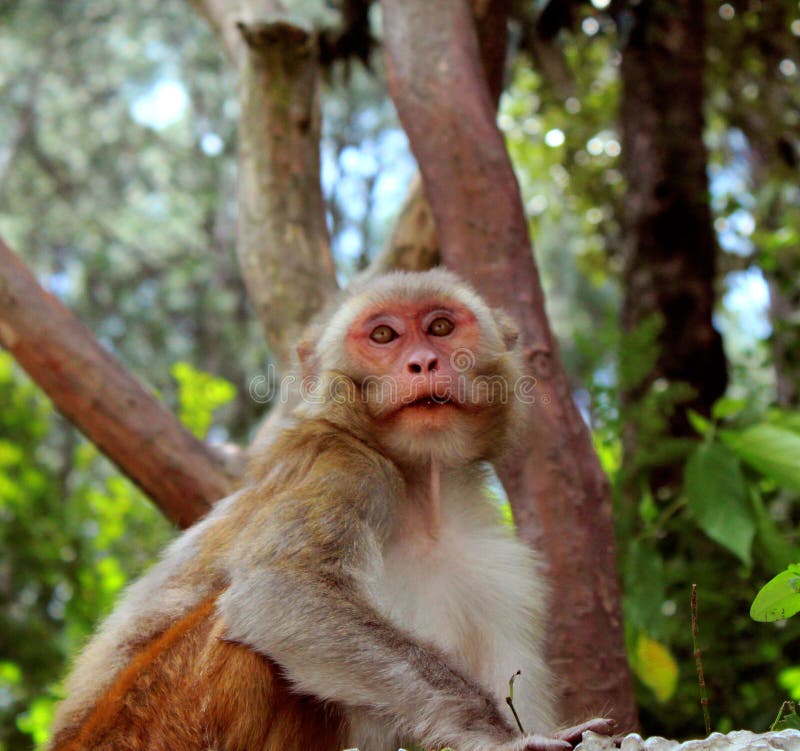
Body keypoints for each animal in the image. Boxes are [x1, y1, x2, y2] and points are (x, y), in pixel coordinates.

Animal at [48, 269, 613, 751]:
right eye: (383, 336)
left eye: (440, 327)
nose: (423, 362)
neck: (423, 496)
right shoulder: (344, 466)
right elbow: (282, 592)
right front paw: (498, 735)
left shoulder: (503, 571)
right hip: (147, 726)